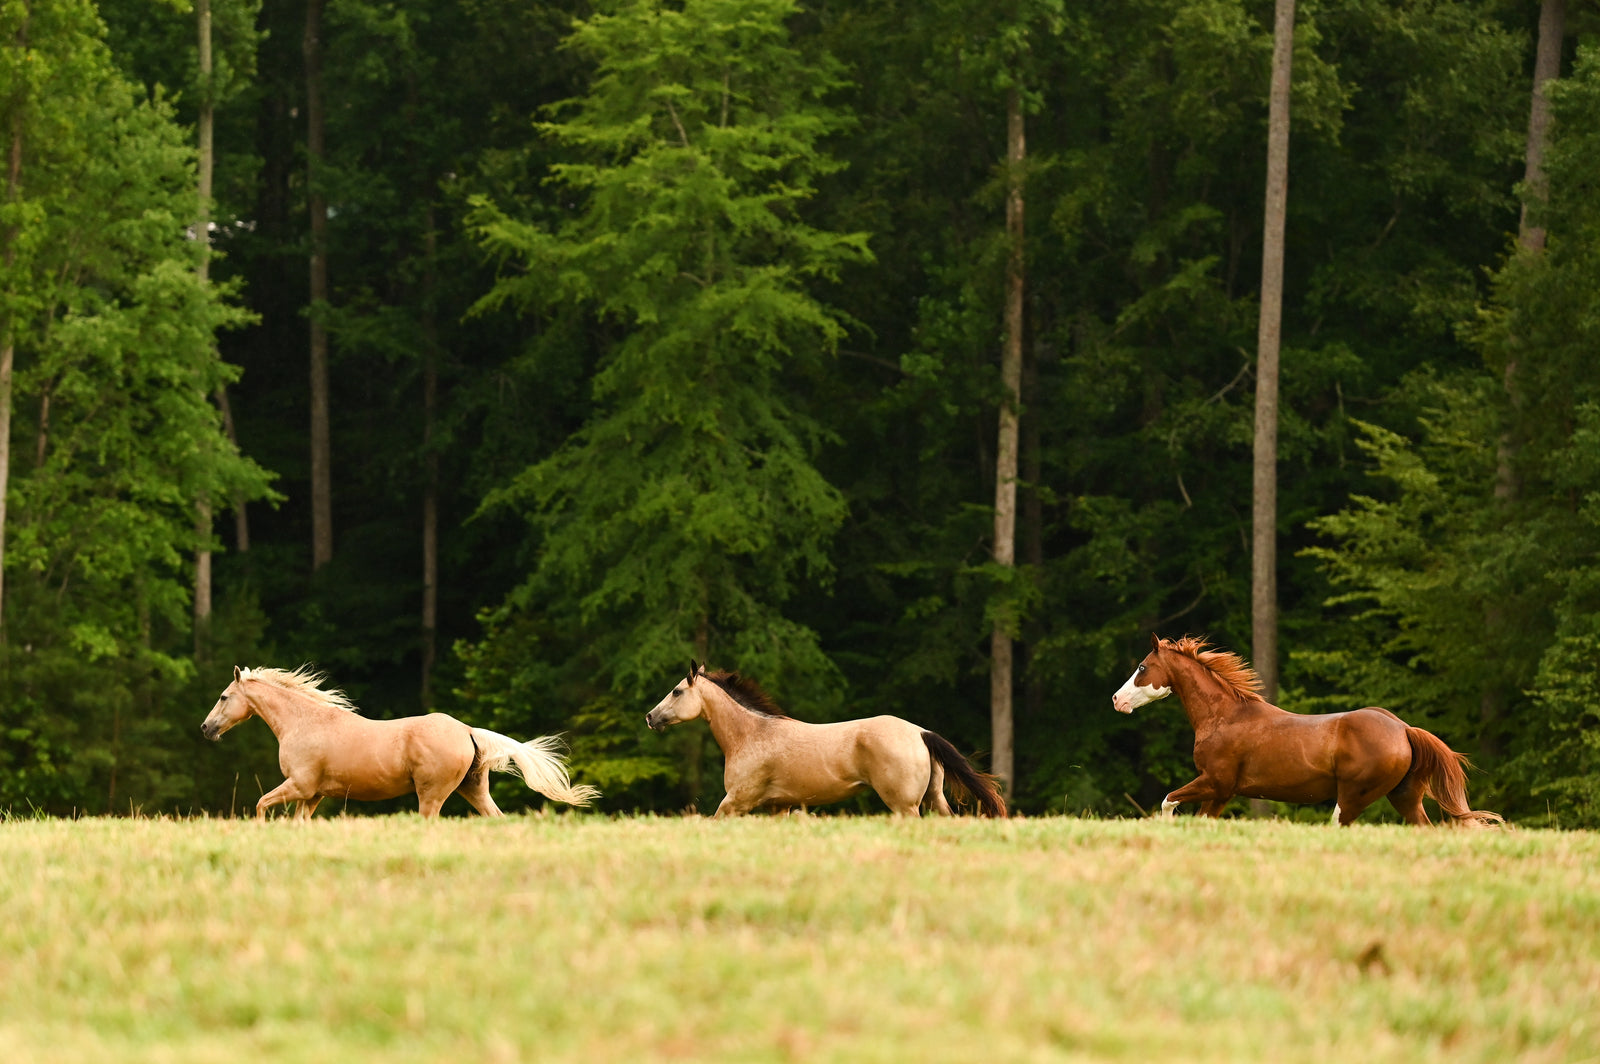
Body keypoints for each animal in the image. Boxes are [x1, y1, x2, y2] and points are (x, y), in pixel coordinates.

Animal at [201, 665, 600, 818]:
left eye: (223, 696)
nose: (206, 728)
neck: (304, 723)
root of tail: (467, 730)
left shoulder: (299, 785)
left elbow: (260, 806)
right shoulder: (311, 795)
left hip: (432, 795)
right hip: (473, 790)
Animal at [644, 660, 1006, 818]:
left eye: (676, 691)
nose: (650, 717)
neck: (752, 735)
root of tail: (919, 732)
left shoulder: (735, 801)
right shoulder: (781, 806)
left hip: (904, 806)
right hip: (934, 800)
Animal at [1112, 634, 1503, 826]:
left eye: (1142, 667)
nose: (1117, 700)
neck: (1224, 717)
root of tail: (1404, 729)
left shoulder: (1216, 782)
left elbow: (1167, 801)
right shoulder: (1221, 793)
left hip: (1352, 798)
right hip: (1404, 796)